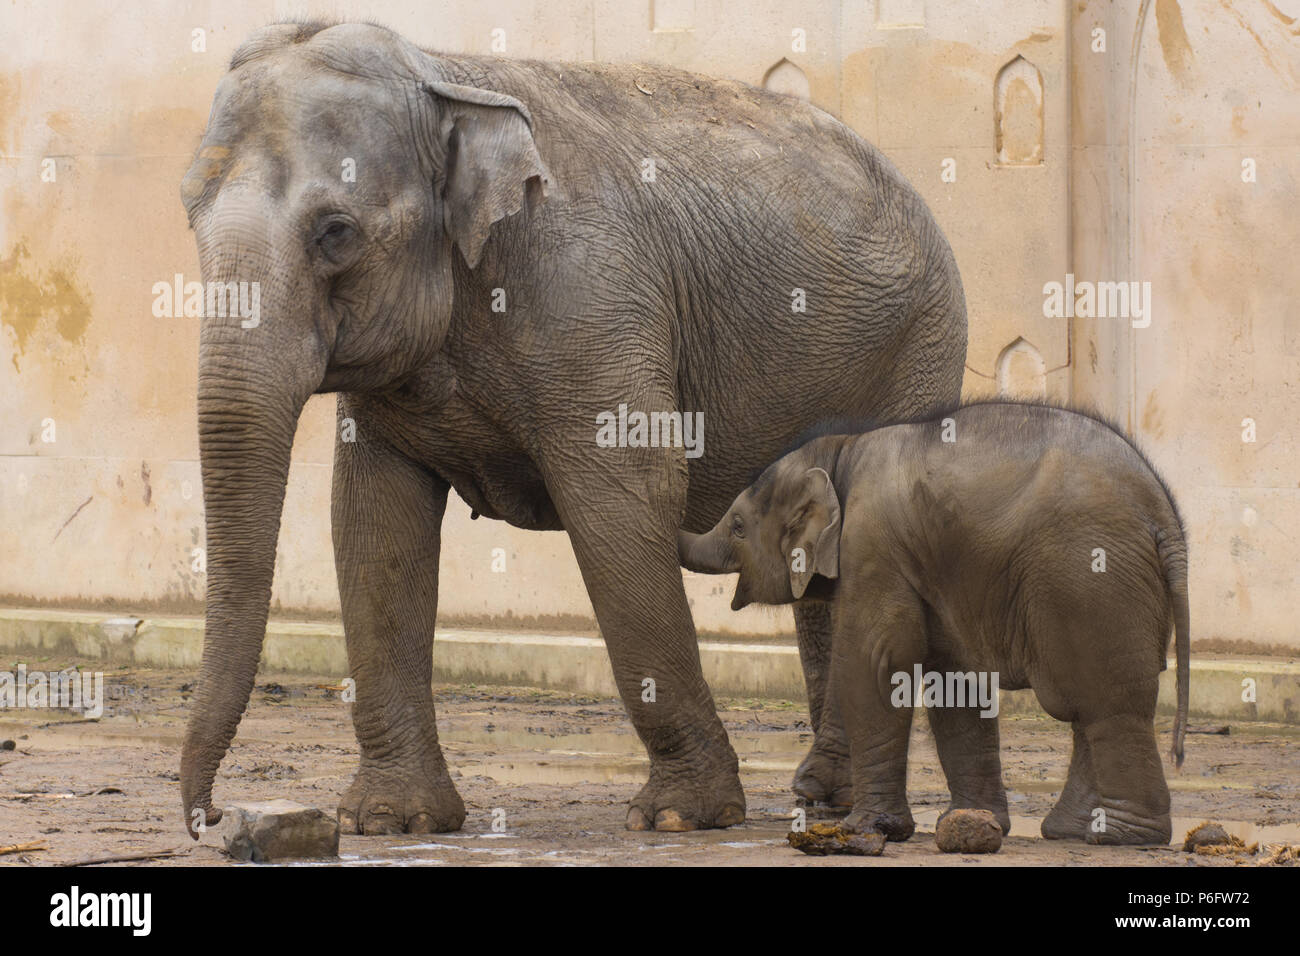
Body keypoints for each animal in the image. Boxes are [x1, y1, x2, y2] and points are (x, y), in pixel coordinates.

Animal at [178, 19, 967, 838]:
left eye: (335, 232)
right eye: (189, 214)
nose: (211, 817)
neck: (443, 76)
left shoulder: (590, 297)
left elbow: (621, 503)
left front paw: (680, 818)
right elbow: (375, 522)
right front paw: (393, 821)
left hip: (918, 349)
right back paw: (822, 797)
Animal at [678, 401, 1191, 845]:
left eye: (738, 527)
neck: (841, 450)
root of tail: (1164, 515)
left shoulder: (872, 542)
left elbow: (875, 660)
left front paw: (873, 828)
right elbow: (954, 680)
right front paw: (973, 821)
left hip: (1087, 575)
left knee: (1104, 702)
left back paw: (1124, 837)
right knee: (1090, 704)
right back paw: (1071, 831)